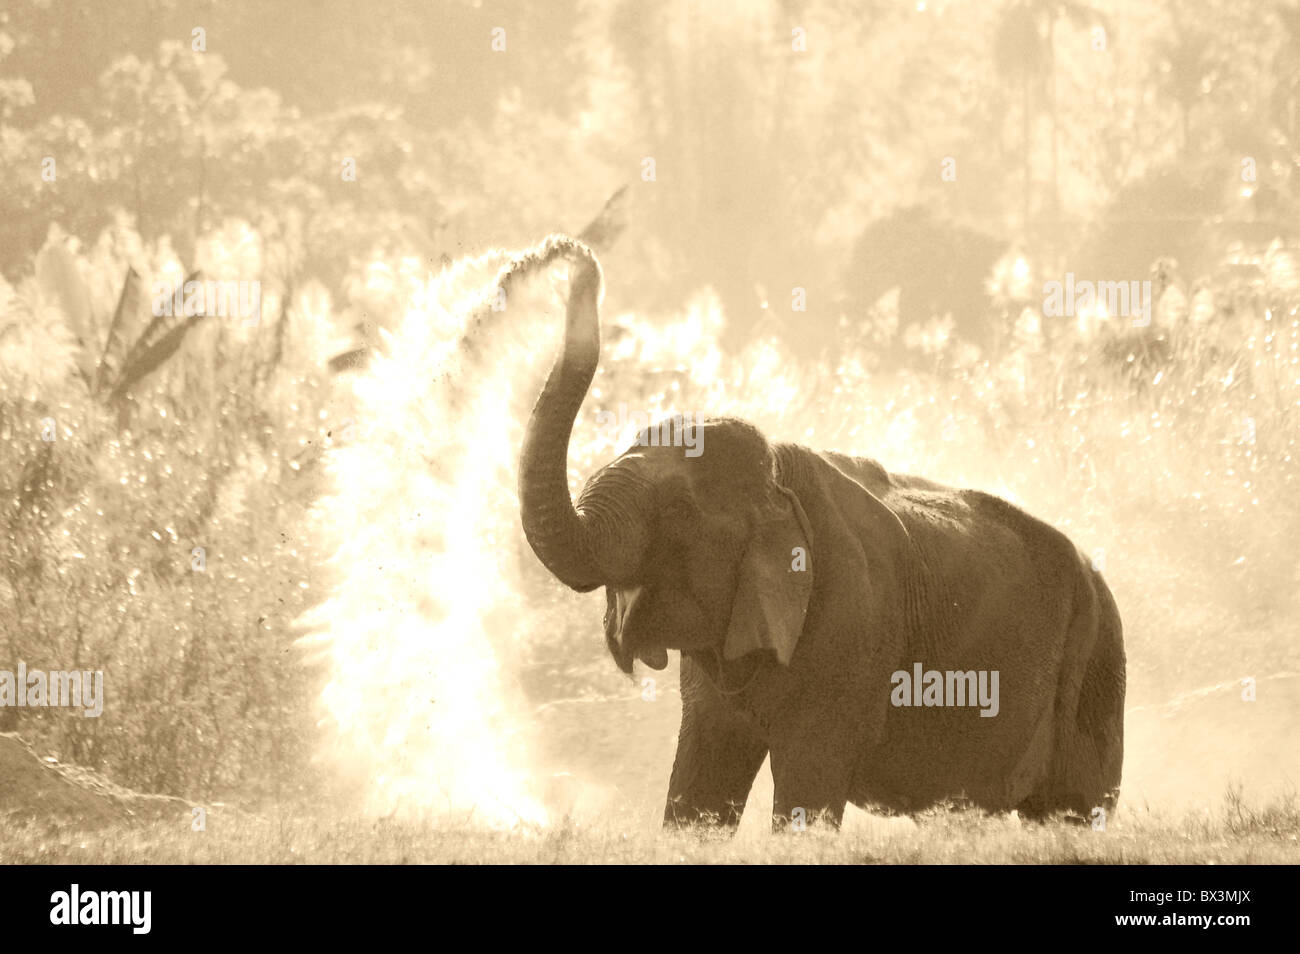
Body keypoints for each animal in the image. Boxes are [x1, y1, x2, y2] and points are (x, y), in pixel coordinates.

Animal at [518, 242, 1125, 830]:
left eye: (678, 513)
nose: (552, 254)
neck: (777, 481)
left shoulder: (848, 628)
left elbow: (806, 787)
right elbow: (700, 782)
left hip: (1098, 661)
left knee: (1072, 811)